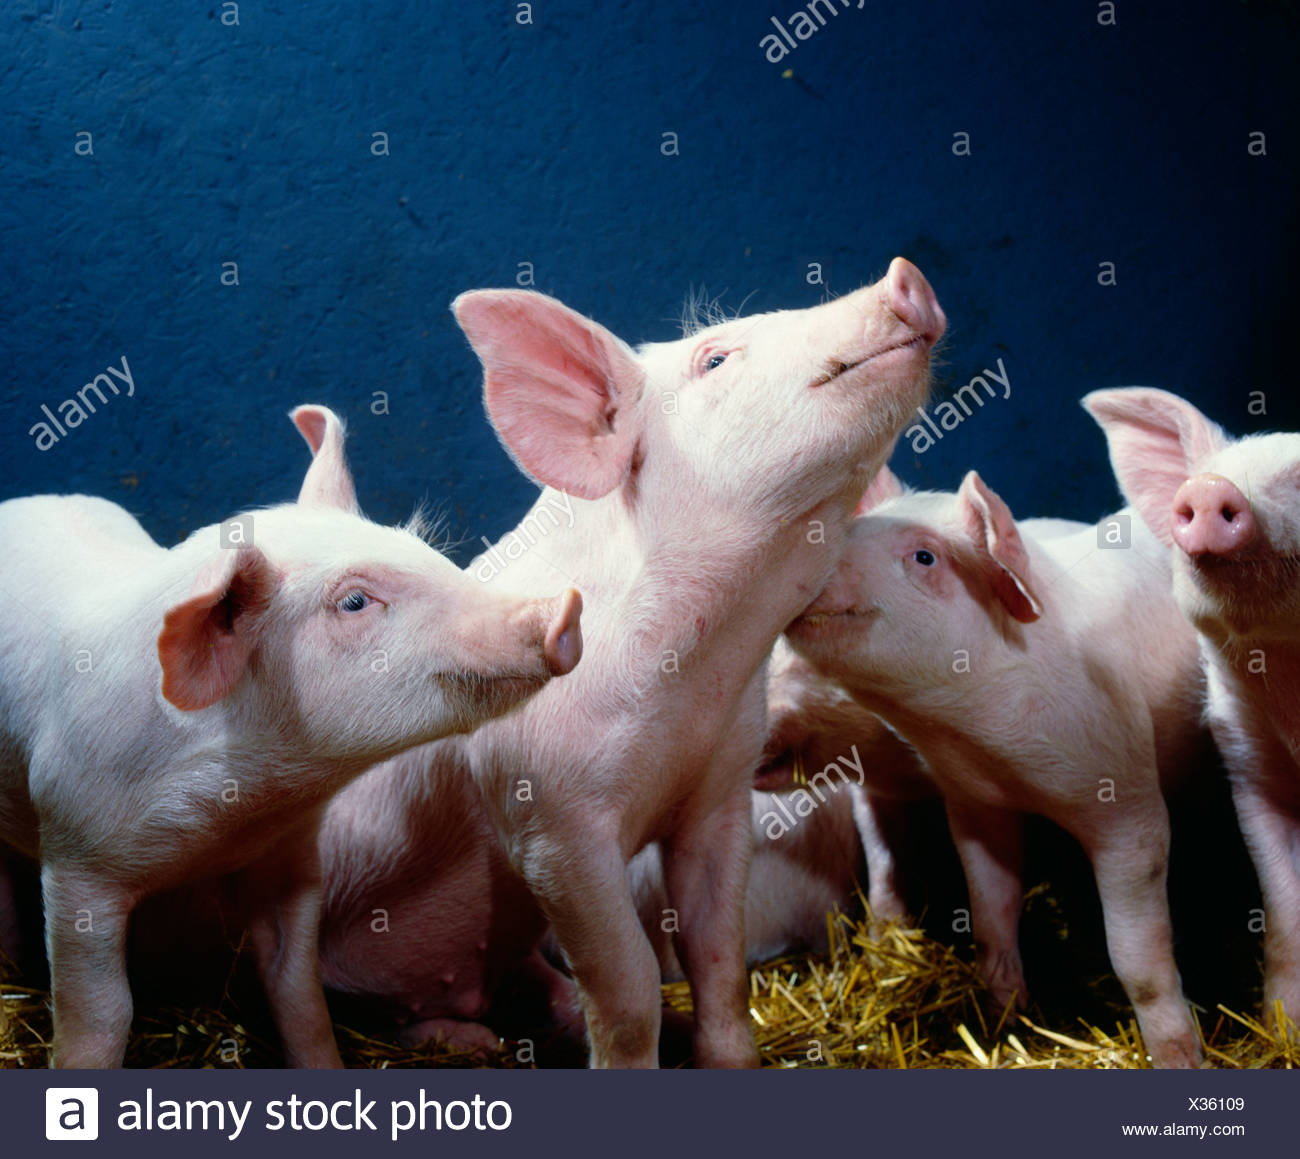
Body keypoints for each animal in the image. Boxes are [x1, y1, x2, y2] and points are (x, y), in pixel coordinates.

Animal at [0, 405, 582, 1068]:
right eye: (354, 602)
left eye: (424, 552)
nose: (564, 606)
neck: (231, 818)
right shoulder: (76, 858)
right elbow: (102, 1013)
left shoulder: (292, 857)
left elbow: (298, 990)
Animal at [317, 260, 945, 1066]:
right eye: (716, 358)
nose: (904, 273)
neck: (695, 681)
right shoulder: (550, 821)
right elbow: (629, 981)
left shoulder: (720, 793)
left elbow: (718, 955)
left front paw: (727, 1057)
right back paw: (472, 1045)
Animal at [785, 466, 1208, 1067]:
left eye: (924, 557)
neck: (997, 753)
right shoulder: (974, 806)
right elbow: (991, 916)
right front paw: (1006, 1018)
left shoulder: (1130, 805)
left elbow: (1135, 954)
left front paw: (1181, 1058)